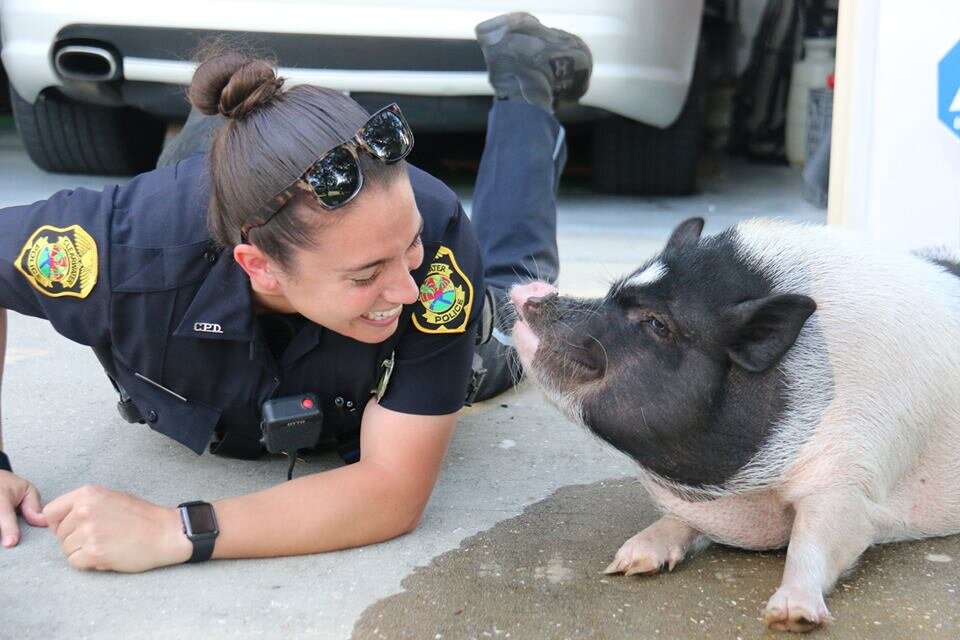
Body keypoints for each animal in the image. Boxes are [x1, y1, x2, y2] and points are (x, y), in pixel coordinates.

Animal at [510, 217, 960, 633]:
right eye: (612, 293)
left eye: (657, 324)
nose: (531, 292)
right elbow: (680, 522)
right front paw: (628, 562)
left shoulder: (852, 482)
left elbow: (811, 541)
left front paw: (790, 616)